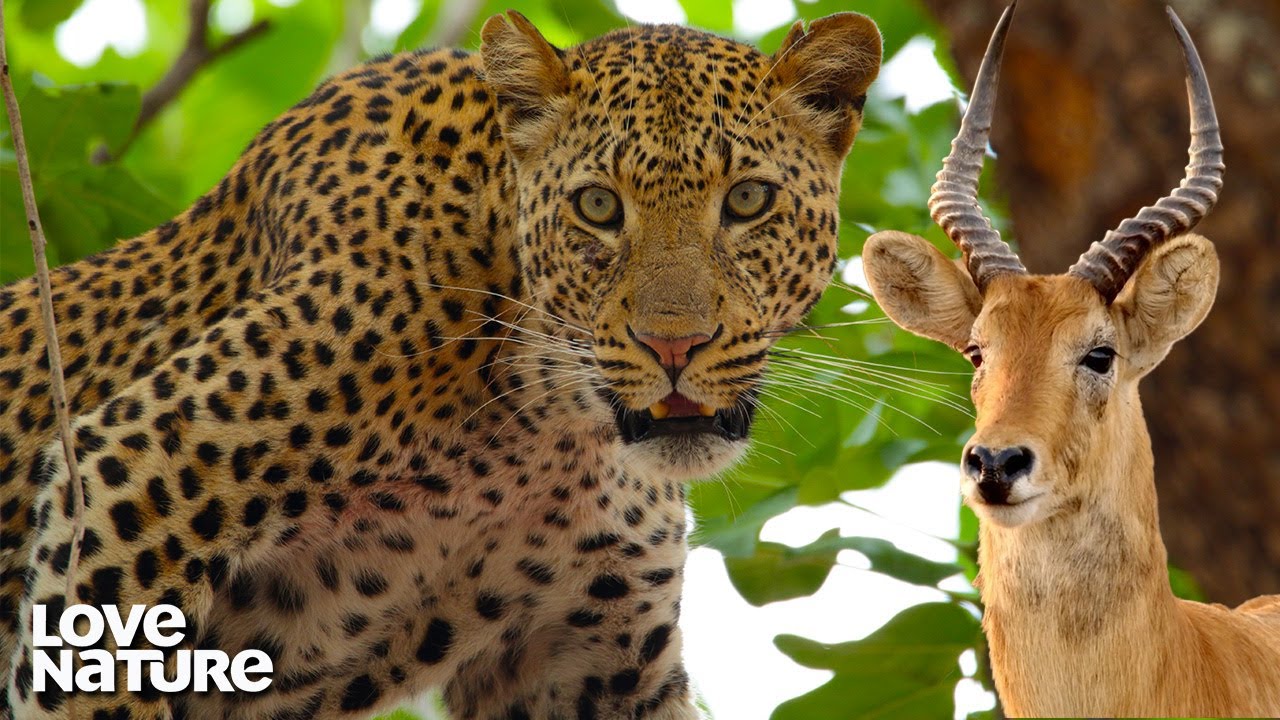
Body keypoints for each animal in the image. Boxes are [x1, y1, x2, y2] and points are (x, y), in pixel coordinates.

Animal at [0, 11, 881, 719]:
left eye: (748, 201)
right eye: (598, 207)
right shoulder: (138, 483)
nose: (675, 345)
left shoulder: (584, 661)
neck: (543, 425)